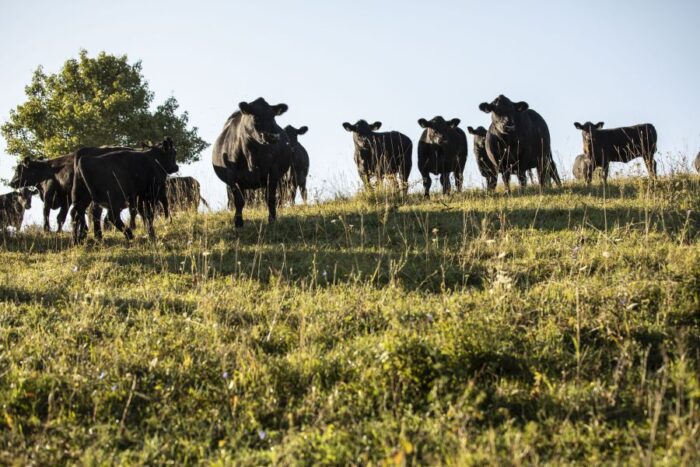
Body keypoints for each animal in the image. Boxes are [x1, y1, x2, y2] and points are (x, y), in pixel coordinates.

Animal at [212, 98, 293, 228]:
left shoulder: (273, 171)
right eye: (256, 117)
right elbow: (239, 200)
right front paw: (238, 222)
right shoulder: (232, 176)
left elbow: (270, 198)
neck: (251, 155)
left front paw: (272, 220)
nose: (273, 136)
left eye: (274, 116)